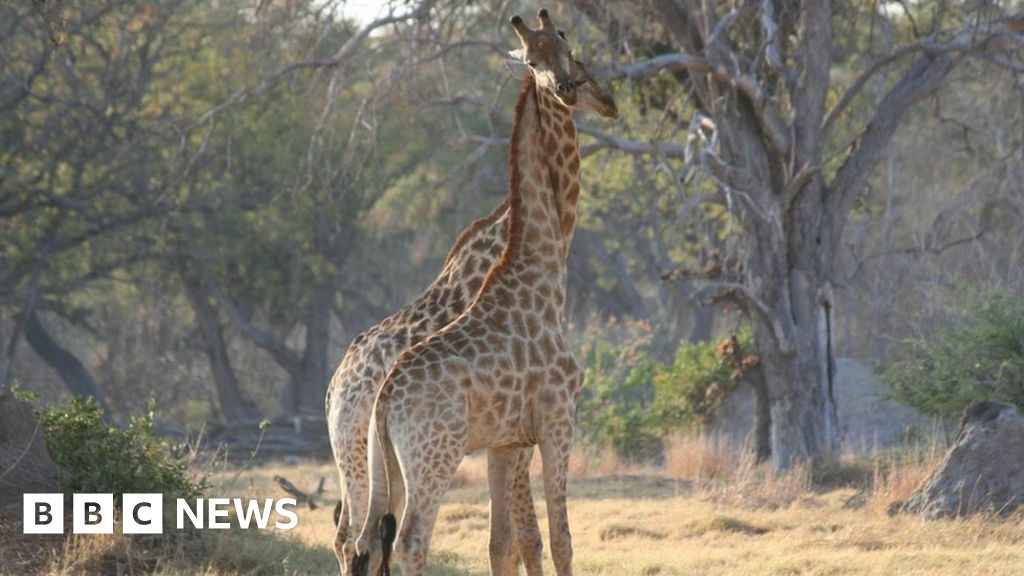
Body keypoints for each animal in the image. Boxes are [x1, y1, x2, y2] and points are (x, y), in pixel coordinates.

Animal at [326, 16, 616, 576]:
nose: (600, 96)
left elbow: (503, 542)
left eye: (566, 45)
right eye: (539, 59)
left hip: (374, 462)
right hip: (428, 459)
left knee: (358, 537)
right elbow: (553, 538)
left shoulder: (506, 440)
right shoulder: (555, 419)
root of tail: (344, 392)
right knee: (405, 540)